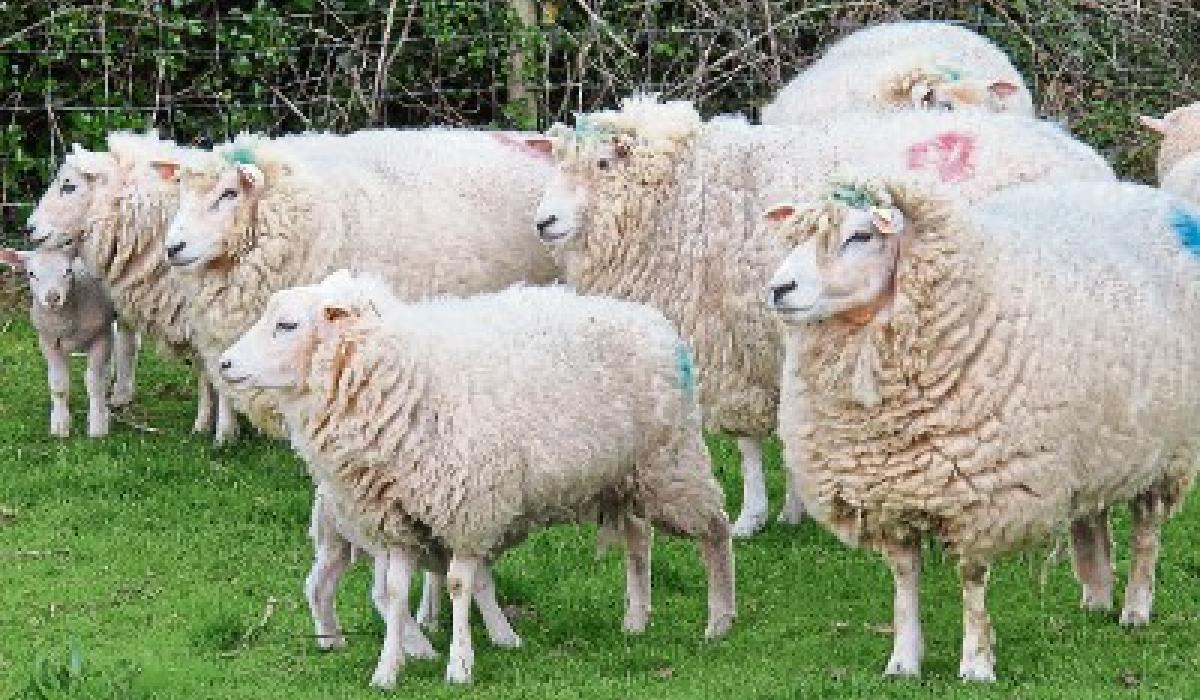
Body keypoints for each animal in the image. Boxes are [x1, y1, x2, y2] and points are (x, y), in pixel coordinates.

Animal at [1, 248, 116, 438]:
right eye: (31, 273)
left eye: (68, 271)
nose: (52, 297)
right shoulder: (48, 341)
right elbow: (58, 384)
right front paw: (60, 425)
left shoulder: (101, 336)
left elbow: (94, 384)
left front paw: (98, 426)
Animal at [26, 135, 240, 442]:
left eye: (68, 185)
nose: (28, 228)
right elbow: (205, 368)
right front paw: (205, 422)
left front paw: (224, 432)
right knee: (127, 342)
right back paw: (120, 394)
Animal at [217, 271, 737, 685]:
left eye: (287, 325)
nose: (222, 364)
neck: (394, 371)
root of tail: (658, 324)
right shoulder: (396, 521)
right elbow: (394, 592)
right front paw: (388, 669)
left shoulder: (467, 510)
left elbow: (458, 586)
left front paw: (459, 664)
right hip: (625, 476)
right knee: (637, 539)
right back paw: (636, 619)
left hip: (671, 462)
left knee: (715, 528)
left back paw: (719, 620)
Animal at [527, 95, 1113, 537]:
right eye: (557, 164)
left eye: (603, 164)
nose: (543, 221)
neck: (686, 196)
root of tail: (1088, 159)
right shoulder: (771, 342)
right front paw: (794, 509)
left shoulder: (733, 346)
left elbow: (747, 445)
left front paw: (752, 517)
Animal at [763, 178, 1200, 681]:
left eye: (861, 235)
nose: (778, 289)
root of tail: (1143, 192)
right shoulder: (889, 494)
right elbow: (904, 580)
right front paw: (903, 661)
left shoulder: (981, 498)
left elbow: (972, 583)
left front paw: (976, 663)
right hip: (1100, 446)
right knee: (1093, 517)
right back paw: (1096, 597)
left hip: (1168, 451)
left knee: (1147, 533)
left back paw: (1135, 608)